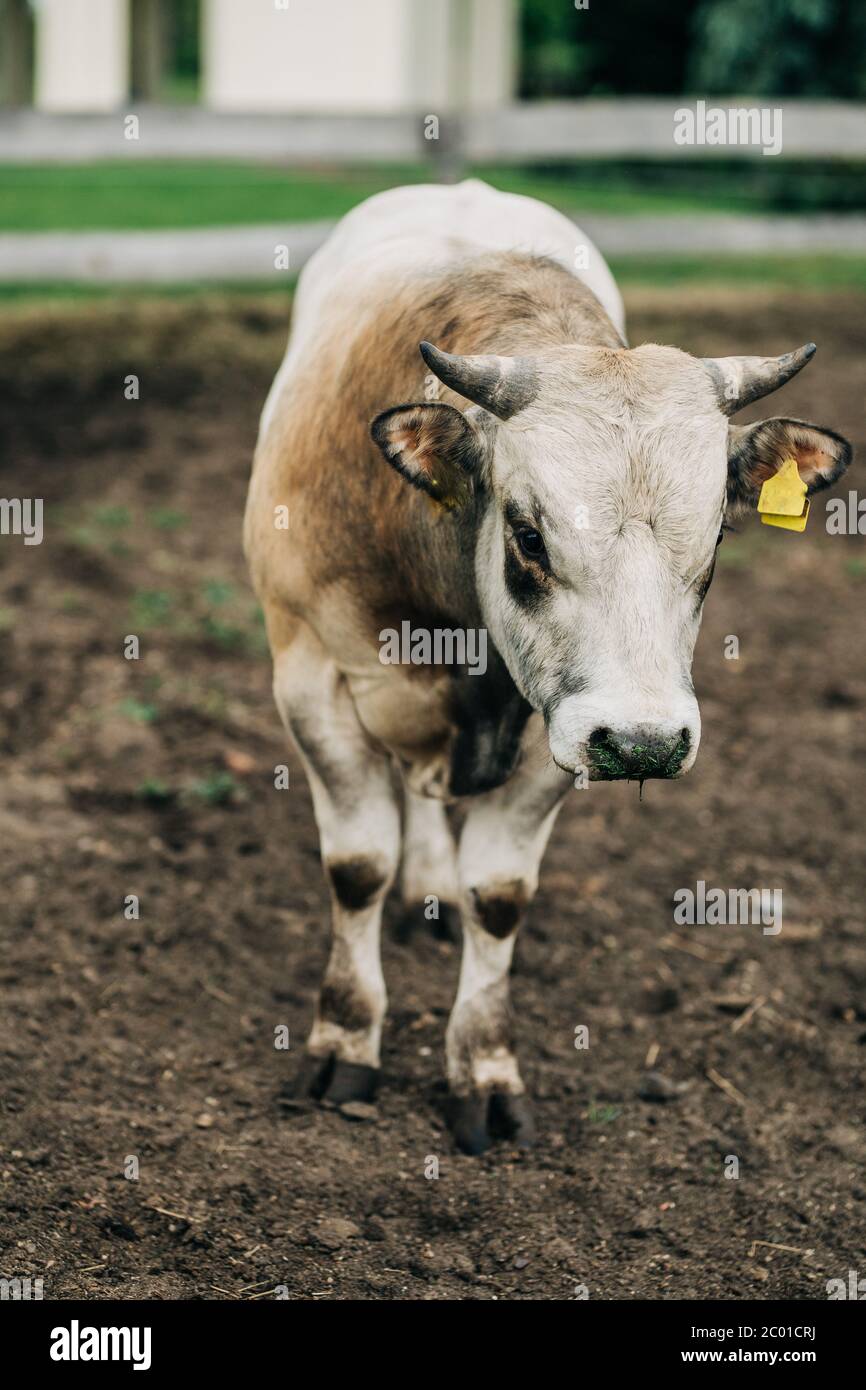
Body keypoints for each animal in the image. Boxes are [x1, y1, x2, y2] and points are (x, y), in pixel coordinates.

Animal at [244, 179, 851, 1154]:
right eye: (528, 535)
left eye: (718, 536)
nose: (646, 744)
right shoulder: (311, 680)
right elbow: (359, 869)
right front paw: (345, 1044)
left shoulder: (565, 723)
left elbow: (499, 896)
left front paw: (485, 1072)